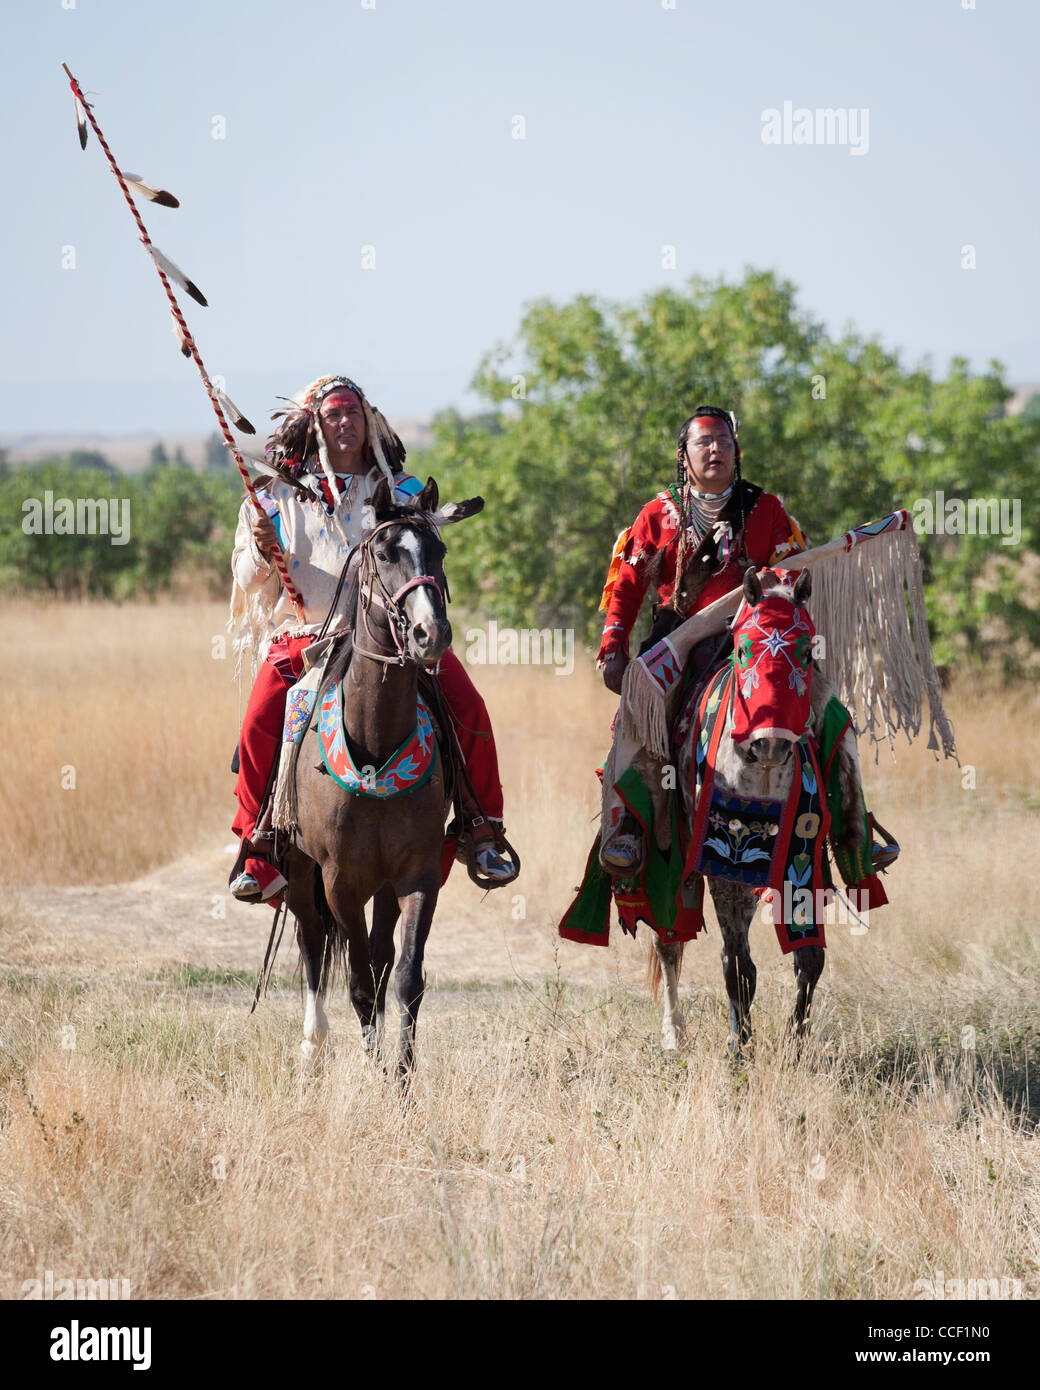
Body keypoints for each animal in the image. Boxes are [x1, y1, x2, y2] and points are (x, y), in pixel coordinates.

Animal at [282, 475, 483, 1079]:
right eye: (385, 553)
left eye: (439, 551)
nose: (428, 634)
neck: (374, 747)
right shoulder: (337, 880)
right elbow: (357, 983)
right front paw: (373, 1069)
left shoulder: (417, 874)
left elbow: (404, 976)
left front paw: (401, 1077)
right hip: (299, 872)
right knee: (313, 947)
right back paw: (313, 1046)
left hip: (384, 886)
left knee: (378, 954)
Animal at [649, 565, 863, 1059]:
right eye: (744, 649)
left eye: (806, 651)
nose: (769, 744)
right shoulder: (722, 867)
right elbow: (736, 964)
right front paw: (738, 1047)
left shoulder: (799, 861)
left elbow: (810, 957)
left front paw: (795, 1045)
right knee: (668, 942)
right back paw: (674, 1033)